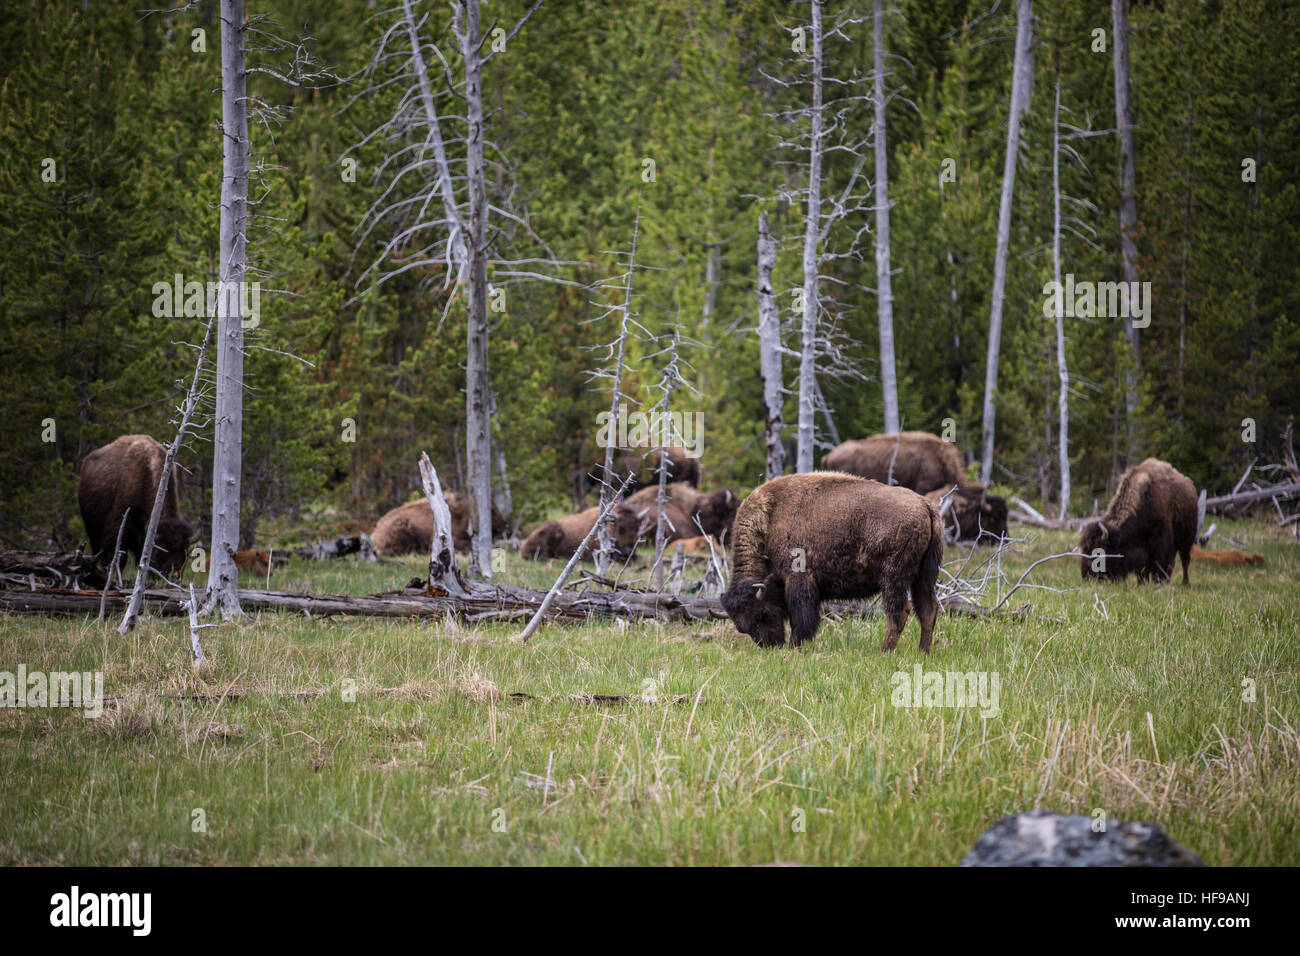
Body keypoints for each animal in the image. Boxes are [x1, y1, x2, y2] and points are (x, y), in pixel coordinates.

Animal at [77, 434, 193, 576]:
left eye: (185, 554)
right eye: (161, 553)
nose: (172, 576)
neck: (146, 472)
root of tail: (85, 463)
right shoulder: (120, 519)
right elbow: (117, 550)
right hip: (91, 523)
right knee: (96, 545)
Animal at [721, 472, 944, 652]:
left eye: (763, 614)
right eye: (743, 627)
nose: (771, 646)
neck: (767, 522)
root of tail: (925, 505)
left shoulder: (798, 580)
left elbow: (799, 618)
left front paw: (795, 646)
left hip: (893, 579)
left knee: (900, 612)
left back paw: (884, 652)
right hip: (923, 578)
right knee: (928, 611)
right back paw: (923, 652)